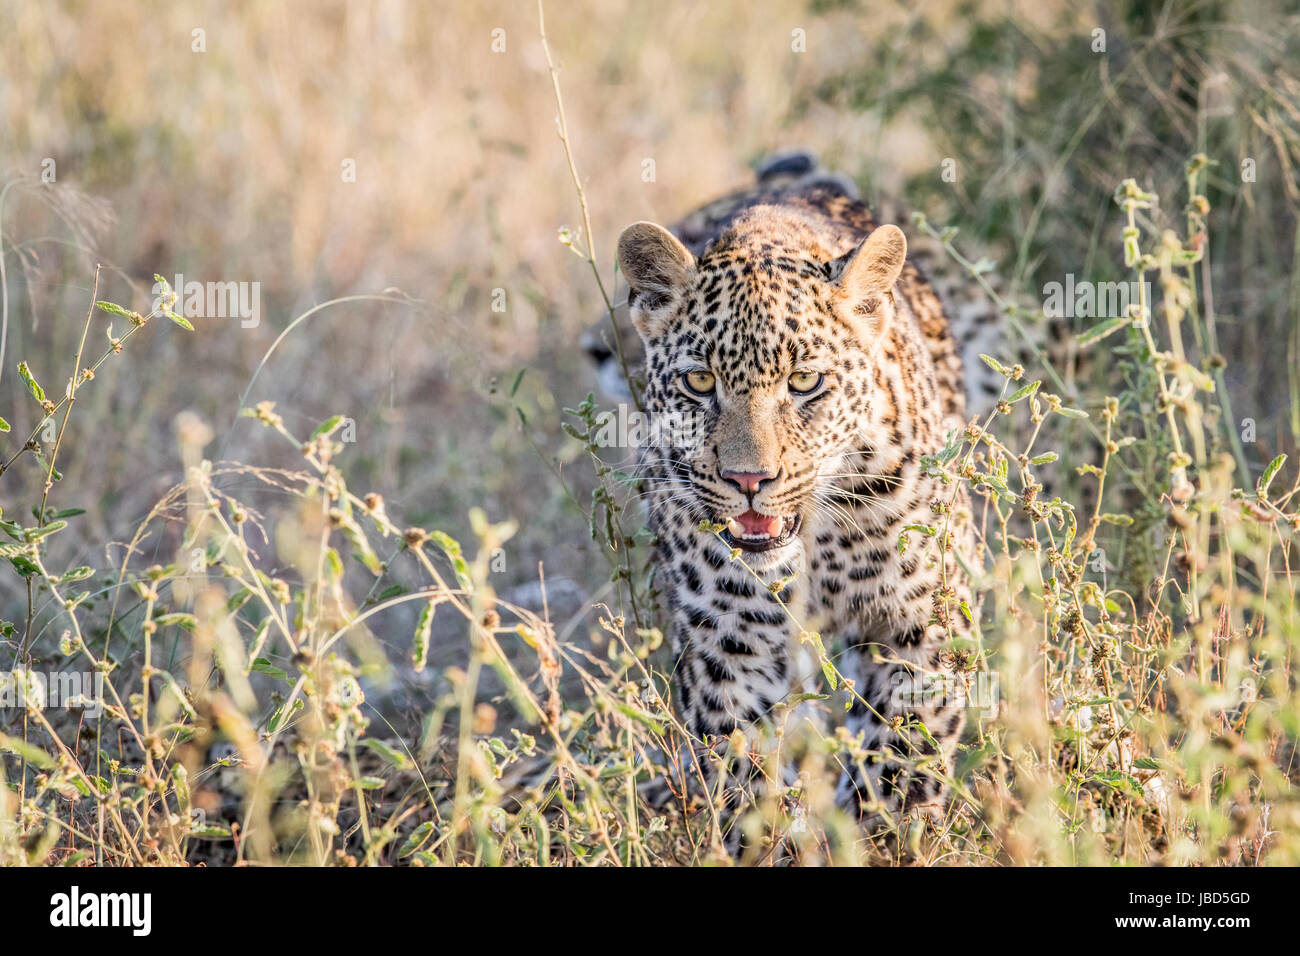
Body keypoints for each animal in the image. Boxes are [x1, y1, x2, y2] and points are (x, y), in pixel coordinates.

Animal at [609, 152, 983, 840]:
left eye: (805, 381)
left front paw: (880, 832)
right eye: (700, 382)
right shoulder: (727, 642)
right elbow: (745, 775)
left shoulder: (923, 617)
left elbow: (902, 749)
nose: (749, 479)